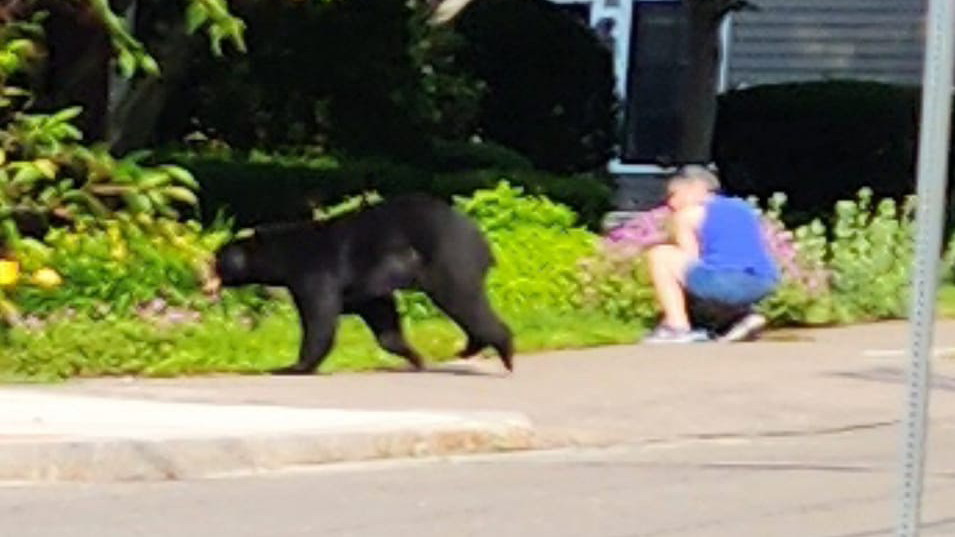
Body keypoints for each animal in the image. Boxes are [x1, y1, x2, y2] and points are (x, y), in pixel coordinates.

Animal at [204, 194, 514, 375]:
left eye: (219, 258)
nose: (206, 275)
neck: (283, 256)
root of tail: (482, 239)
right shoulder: (366, 290)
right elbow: (382, 318)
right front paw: (415, 357)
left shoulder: (314, 272)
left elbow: (319, 318)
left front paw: (291, 366)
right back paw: (472, 347)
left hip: (448, 261)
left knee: (463, 299)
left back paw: (502, 349)